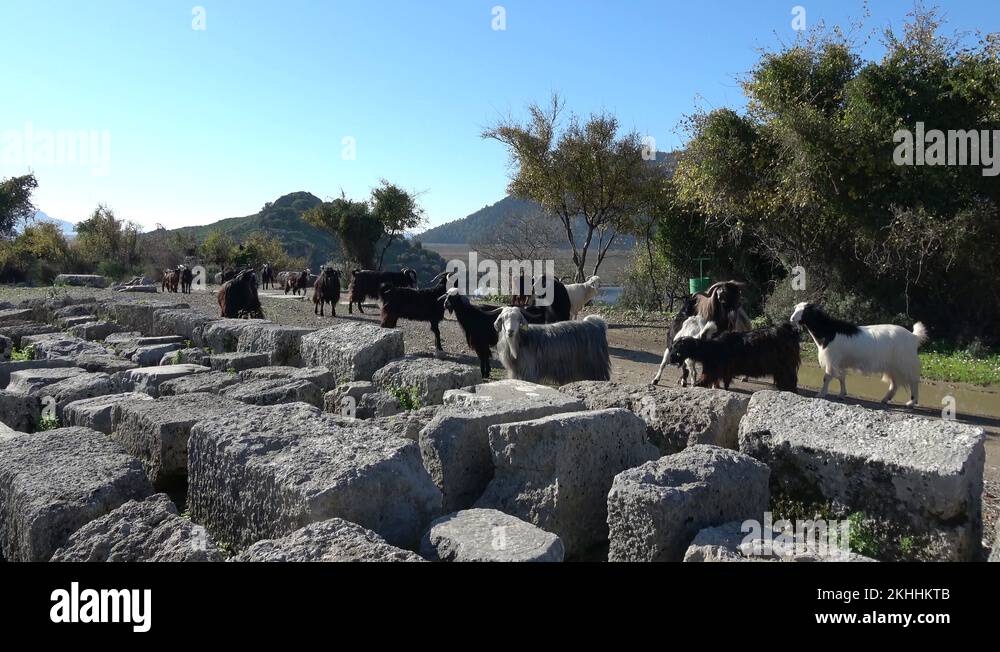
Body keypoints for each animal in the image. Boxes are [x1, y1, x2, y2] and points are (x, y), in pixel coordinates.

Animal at [669, 323, 801, 392]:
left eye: (677, 348)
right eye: (673, 346)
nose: (670, 359)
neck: (712, 348)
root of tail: (791, 332)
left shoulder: (715, 371)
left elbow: (703, 382)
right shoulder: (719, 372)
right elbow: (722, 384)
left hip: (786, 366)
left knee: (790, 380)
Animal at [790, 302, 928, 407]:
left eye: (805, 311)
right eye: (796, 308)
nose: (791, 319)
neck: (829, 331)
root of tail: (914, 336)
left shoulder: (831, 360)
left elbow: (827, 377)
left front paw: (821, 394)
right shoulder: (840, 362)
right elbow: (841, 377)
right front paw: (842, 394)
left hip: (905, 363)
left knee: (914, 381)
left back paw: (911, 402)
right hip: (893, 366)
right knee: (895, 384)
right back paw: (885, 399)